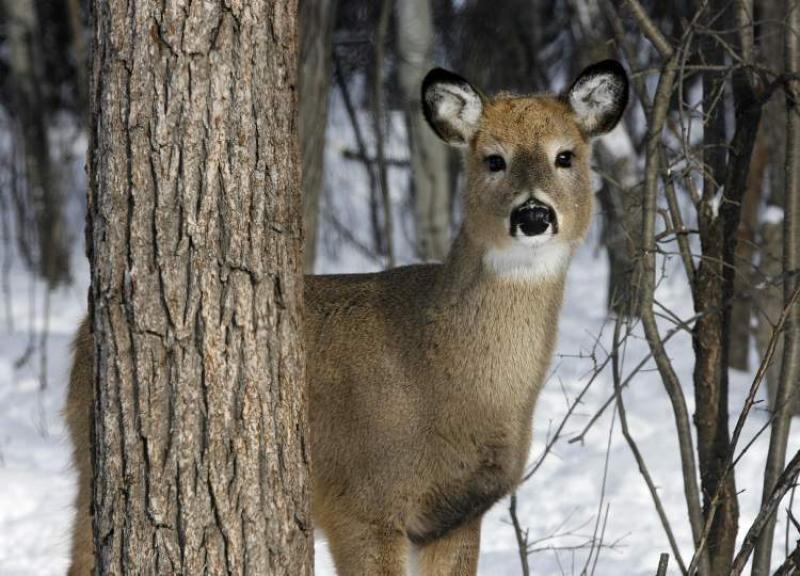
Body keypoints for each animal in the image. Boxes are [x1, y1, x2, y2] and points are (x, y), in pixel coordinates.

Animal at [64, 60, 628, 575]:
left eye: (565, 155)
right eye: (493, 159)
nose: (533, 215)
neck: (440, 376)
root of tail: (83, 332)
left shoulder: (456, 516)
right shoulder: (361, 502)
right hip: (98, 459)